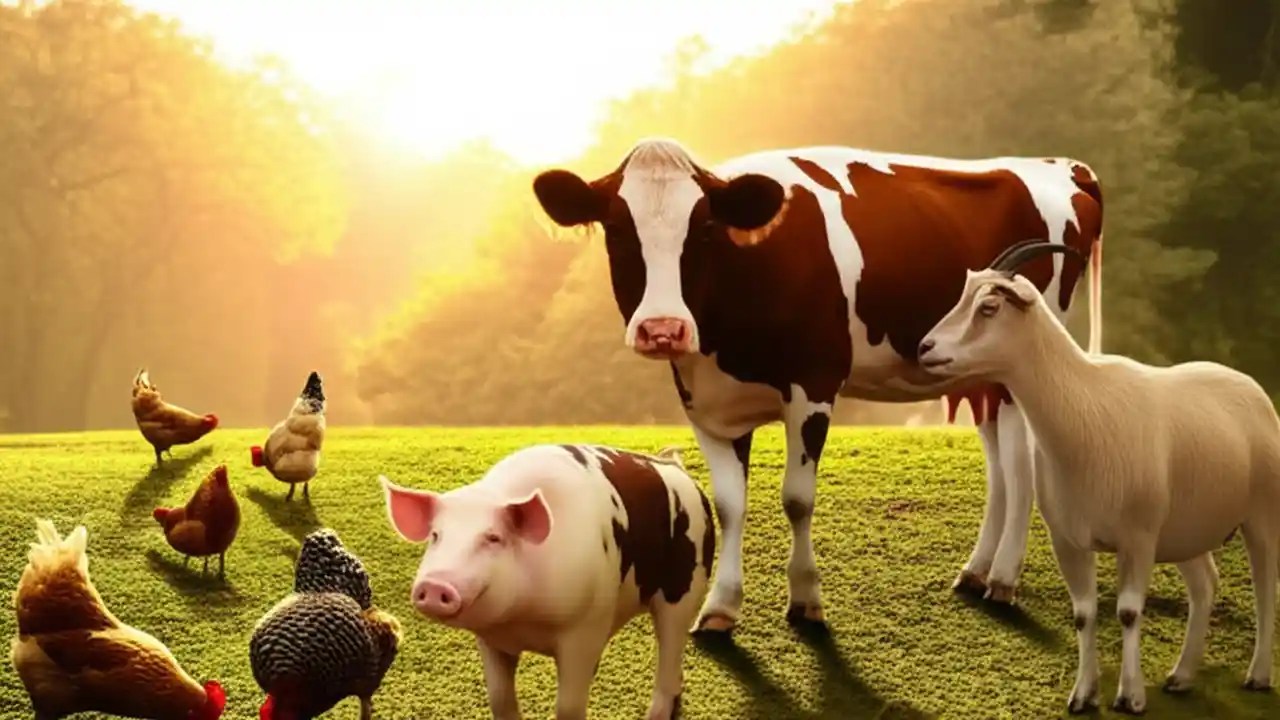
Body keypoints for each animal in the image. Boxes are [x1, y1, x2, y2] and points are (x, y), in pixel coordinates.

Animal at [380, 443, 715, 720]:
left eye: (493, 538)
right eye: (436, 536)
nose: (435, 585)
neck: (522, 621)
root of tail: (675, 466)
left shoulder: (586, 630)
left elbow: (568, 707)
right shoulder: (490, 638)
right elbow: (499, 698)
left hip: (687, 588)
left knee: (669, 649)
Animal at [531, 138, 1103, 634]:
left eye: (706, 229)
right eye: (616, 229)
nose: (663, 328)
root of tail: (1063, 165)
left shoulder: (814, 385)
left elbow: (796, 498)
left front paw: (806, 600)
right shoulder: (706, 403)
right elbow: (729, 503)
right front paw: (720, 608)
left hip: (1020, 371)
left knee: (1023, 466)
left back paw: (1003, 579)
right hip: (980, 377)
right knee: (1001, 467)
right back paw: (977, 571)